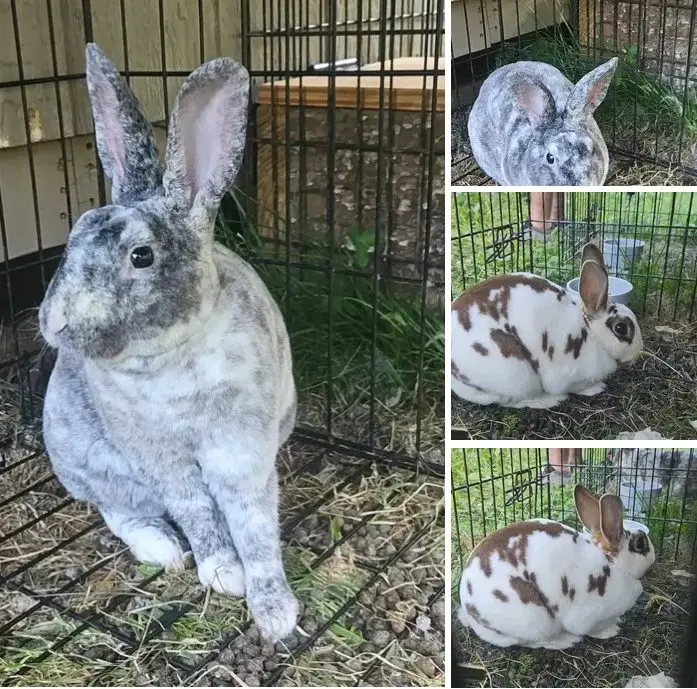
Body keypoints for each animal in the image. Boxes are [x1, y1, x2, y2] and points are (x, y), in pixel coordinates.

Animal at [38, 44, 299, 641]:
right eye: (72, 235)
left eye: (142, 256)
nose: (54, 323)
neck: (169, 358)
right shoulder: (160, 459)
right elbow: (197, 513)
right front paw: (222, 573)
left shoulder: (240, 452)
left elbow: (254, 526)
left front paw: (275, 612)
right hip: (94, 464)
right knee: (121, 512)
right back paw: (164, 549)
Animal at [451, 242, 643, 409]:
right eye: (621, 328)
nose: (639, 350)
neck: (593, 335)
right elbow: (577, 387)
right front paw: (597, 388)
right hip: (516, 375)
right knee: (512, 401)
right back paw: (551, 400)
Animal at [458, 484, 655, 649]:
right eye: (640, 543)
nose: (653, 557)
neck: (614, 565)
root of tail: (471, 616)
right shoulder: (586, 617)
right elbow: (591, 629)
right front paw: (610, 631)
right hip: (534, 620)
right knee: (533, 641)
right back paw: (565, 640)